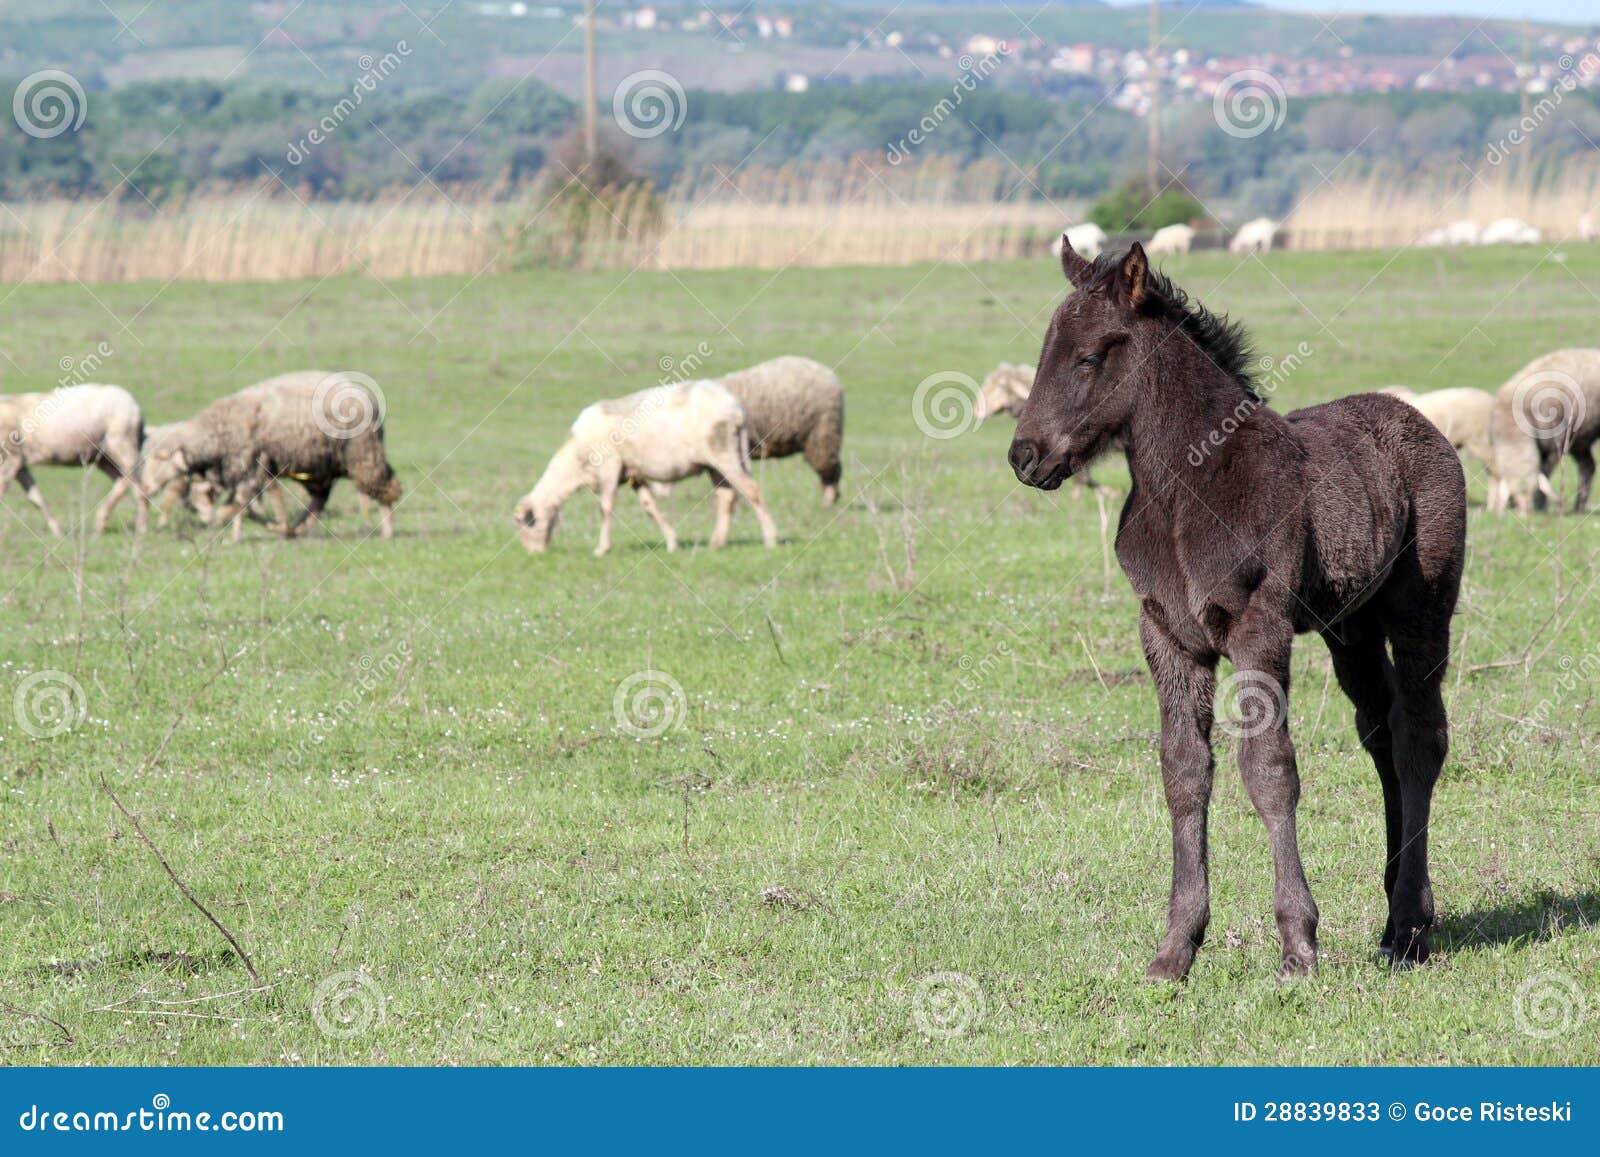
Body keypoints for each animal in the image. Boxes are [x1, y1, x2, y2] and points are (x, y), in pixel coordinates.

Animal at [1008, 236, 1466, 979]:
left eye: (1090, 355)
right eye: (1048, 349)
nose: (1025, 456)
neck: (1185, 491)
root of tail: (1420, 422)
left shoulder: (1258, 628)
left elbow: (1270, 771)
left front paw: (1298, 943)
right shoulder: (1168, 636)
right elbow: (1185, 773)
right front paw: (1176, 947)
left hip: (1422, 609)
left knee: (1421, 737)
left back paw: (1409, 926)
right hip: (1350, 629)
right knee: (1382, 734)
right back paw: (1397, 919)